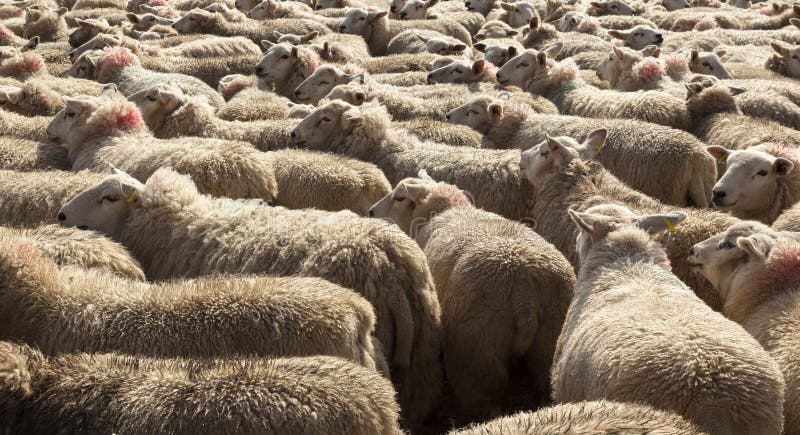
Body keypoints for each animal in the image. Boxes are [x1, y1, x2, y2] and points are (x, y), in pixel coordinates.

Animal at [371, 173, 575, 418]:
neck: (446, 211)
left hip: (478, 350)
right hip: (549, 339)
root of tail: (524, 291)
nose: (371, 212)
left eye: (399, 197)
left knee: (483, 400)